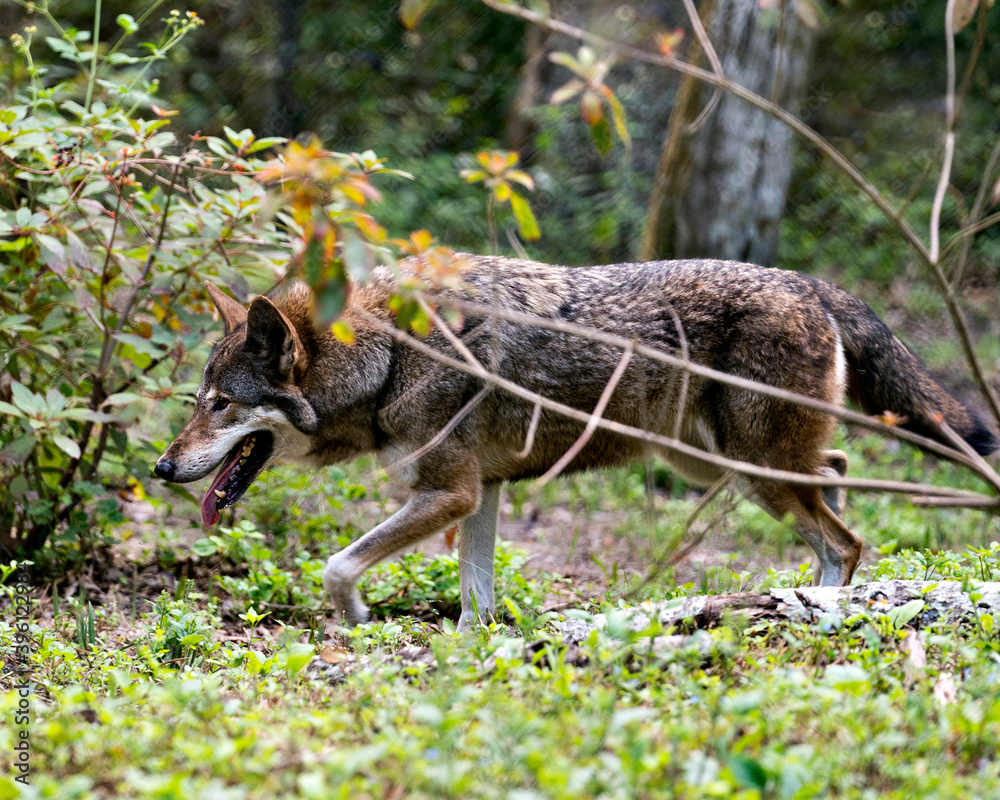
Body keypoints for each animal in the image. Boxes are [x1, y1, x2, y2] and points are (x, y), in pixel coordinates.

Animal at [155, 255, 997, 629]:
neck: (389, 354)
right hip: (719, 464)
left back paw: (819, 610)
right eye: (199, 403)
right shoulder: (482, 495)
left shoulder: (450, 491)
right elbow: (476, 600)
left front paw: (359, 617)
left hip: (750, 469)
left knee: (847, 538)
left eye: (223, 406)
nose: (162, 467)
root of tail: (809, 282)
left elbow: (336, 566)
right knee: (842, 477)